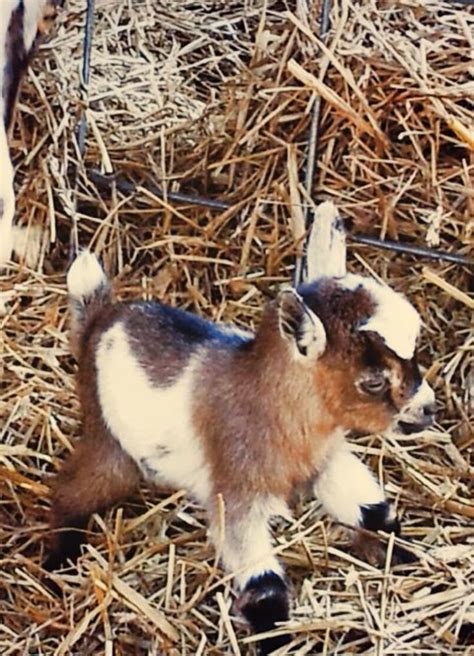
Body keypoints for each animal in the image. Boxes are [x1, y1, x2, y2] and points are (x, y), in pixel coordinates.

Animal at [46, 203, 436, 654]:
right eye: (372, 381)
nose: (429, 409)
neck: (269, 404)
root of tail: (98, 319)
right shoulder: (236, 488)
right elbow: (262, 584)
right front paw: (276, 640)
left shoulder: (325, 460)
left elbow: (372, 510)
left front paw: (407, 557)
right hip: (108, 438)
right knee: (73, 489)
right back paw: (58, 560)